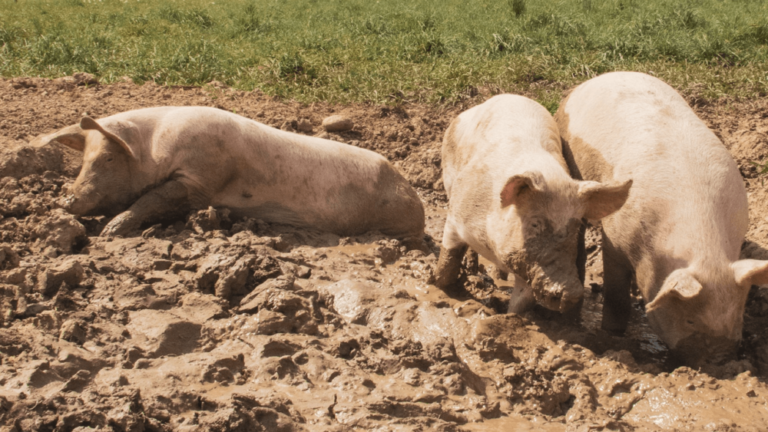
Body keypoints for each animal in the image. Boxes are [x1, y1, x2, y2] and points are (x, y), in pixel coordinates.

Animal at [31, 106, 425, 239]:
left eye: (108, 160)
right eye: (84, 159)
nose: (67, 200)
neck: (154, 150)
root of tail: (412, 192)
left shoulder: (200, 177)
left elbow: (153, 199)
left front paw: (109, 233)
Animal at [433, 95, 632, 313]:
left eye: (576, 228)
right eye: (535, 223)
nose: (571, 292)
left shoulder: (528, 266)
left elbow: (521, 302)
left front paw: (508, 316)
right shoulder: (456, 216)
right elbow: (448, 260)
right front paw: (441, 289)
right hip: (449, 176)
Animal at [555, 71, 768, 364]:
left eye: (737, 315)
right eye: (689, 320)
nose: (719, 361)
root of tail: (607, 74)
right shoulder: (614, 238)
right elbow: (615, 294)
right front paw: (612, 334)